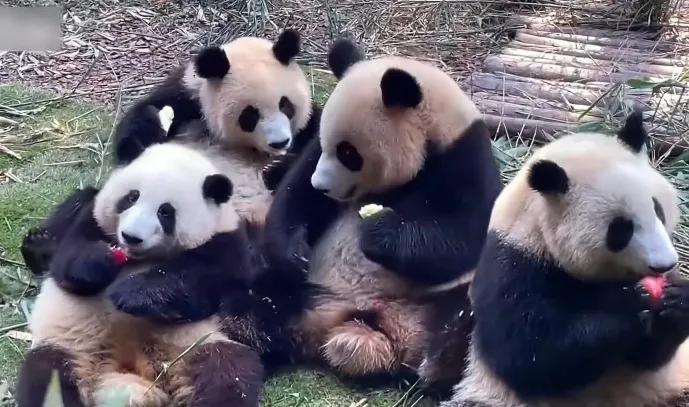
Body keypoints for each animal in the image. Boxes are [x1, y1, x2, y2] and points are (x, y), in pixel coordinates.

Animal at [16, 141, 264, 407]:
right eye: (132, 197)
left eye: (165, 212)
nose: (131, 237)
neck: (140, 258)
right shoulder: (91, 221)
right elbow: (69, 263)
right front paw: (102, 260)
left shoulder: (226, 242)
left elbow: (200, 285)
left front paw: (131, 293)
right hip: (71, 344)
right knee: (48, 375)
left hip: (196, 346)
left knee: (224, 376)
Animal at [263, 38, 503, 377]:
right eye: (327, 144)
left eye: (349, 153)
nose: (322, 185)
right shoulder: (312, 160)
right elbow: (296, 195)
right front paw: (294, 250)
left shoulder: (465, 161)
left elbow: (463, 237)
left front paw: (377, 232)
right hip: (301, 292)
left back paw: (440, 361)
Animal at [444, 112, 689, 407]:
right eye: (621, 229)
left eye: (658, 210)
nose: (665, 264)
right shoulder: (513, 263)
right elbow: (531, 353)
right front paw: (630, 307)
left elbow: (650, 356)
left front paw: (677, 301)